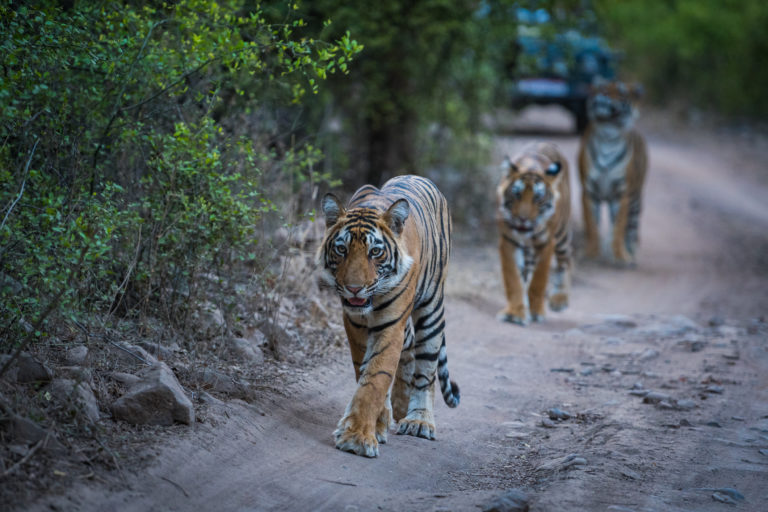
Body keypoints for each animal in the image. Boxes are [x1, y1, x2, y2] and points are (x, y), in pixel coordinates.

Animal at [318, 175, 460, 458]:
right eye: (341, 250)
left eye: (375, 252)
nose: (353, 288)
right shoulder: (355, 324)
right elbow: (367, 372)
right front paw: (376, 426)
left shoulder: (391, 325)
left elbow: (375, 379)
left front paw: (356, 438)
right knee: (410, 350)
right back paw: (401, 406)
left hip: (432, 310)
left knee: (426, 369)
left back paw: (419, 420)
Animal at [496, 142, 572, 325]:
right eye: (517, 194)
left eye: (537, 198)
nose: (523, 219)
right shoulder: (509, 240)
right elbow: (513, 279)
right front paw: (515, 313)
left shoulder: (546, 243)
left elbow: (539, 279)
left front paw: (536, 311)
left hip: (561, 235)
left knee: (566, 261)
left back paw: (560, 298)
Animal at [578, 78, 648, 264]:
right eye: (604, 91)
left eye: (622, 94)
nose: (608, 102)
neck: (608, 137)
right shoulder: (589, 190)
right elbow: (592, 225)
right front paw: (591, 253)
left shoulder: (622, 192)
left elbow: (619, 226)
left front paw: (621, 257)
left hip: (635, 199)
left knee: (630, 229)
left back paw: (630, 252)